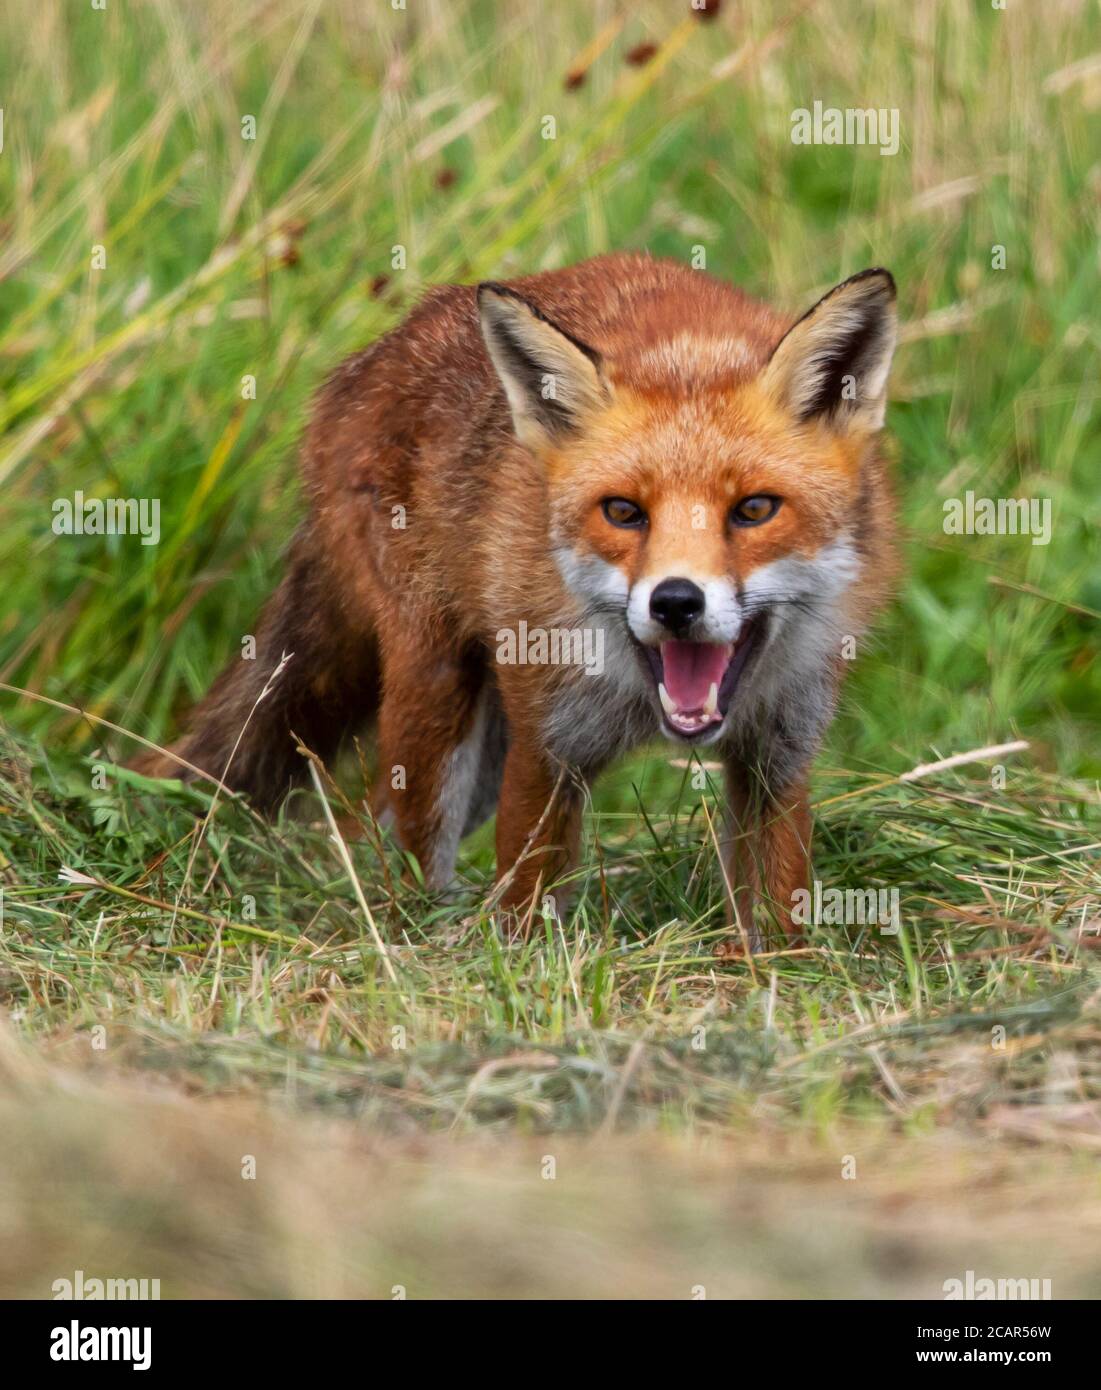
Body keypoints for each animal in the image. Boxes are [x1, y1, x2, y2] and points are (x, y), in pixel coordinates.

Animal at [136, 253, 899, 949]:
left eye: (755, 509)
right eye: (623, 512)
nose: (675, 603)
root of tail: (364, 363)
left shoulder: (779, 755)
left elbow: (777, 907)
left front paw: (767, 971)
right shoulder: (548, 747)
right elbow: (526, 899)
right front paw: (519, 963)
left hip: (480, 756)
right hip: (438, 699)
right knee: (397, 840)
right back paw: (426, 936)